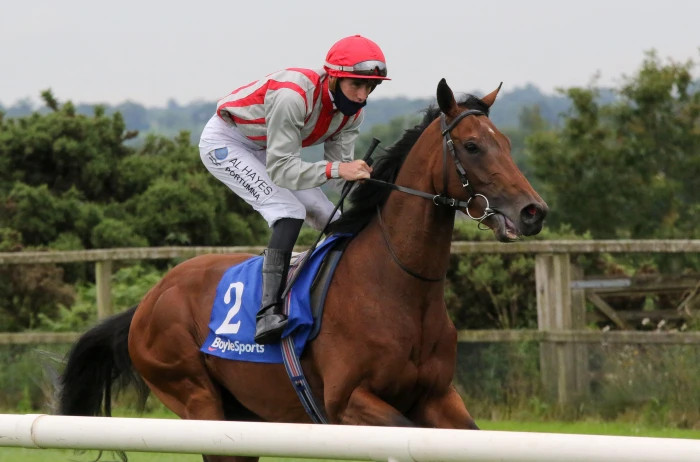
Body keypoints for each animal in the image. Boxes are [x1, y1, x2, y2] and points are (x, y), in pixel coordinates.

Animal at [58, 79, 547, 462]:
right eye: (472, 146)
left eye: (506, 143)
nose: (533, 212)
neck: (398, 287)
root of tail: (148, 302)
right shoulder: (349, 403)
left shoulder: (438, 397)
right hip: (197, 400)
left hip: (243, 416)